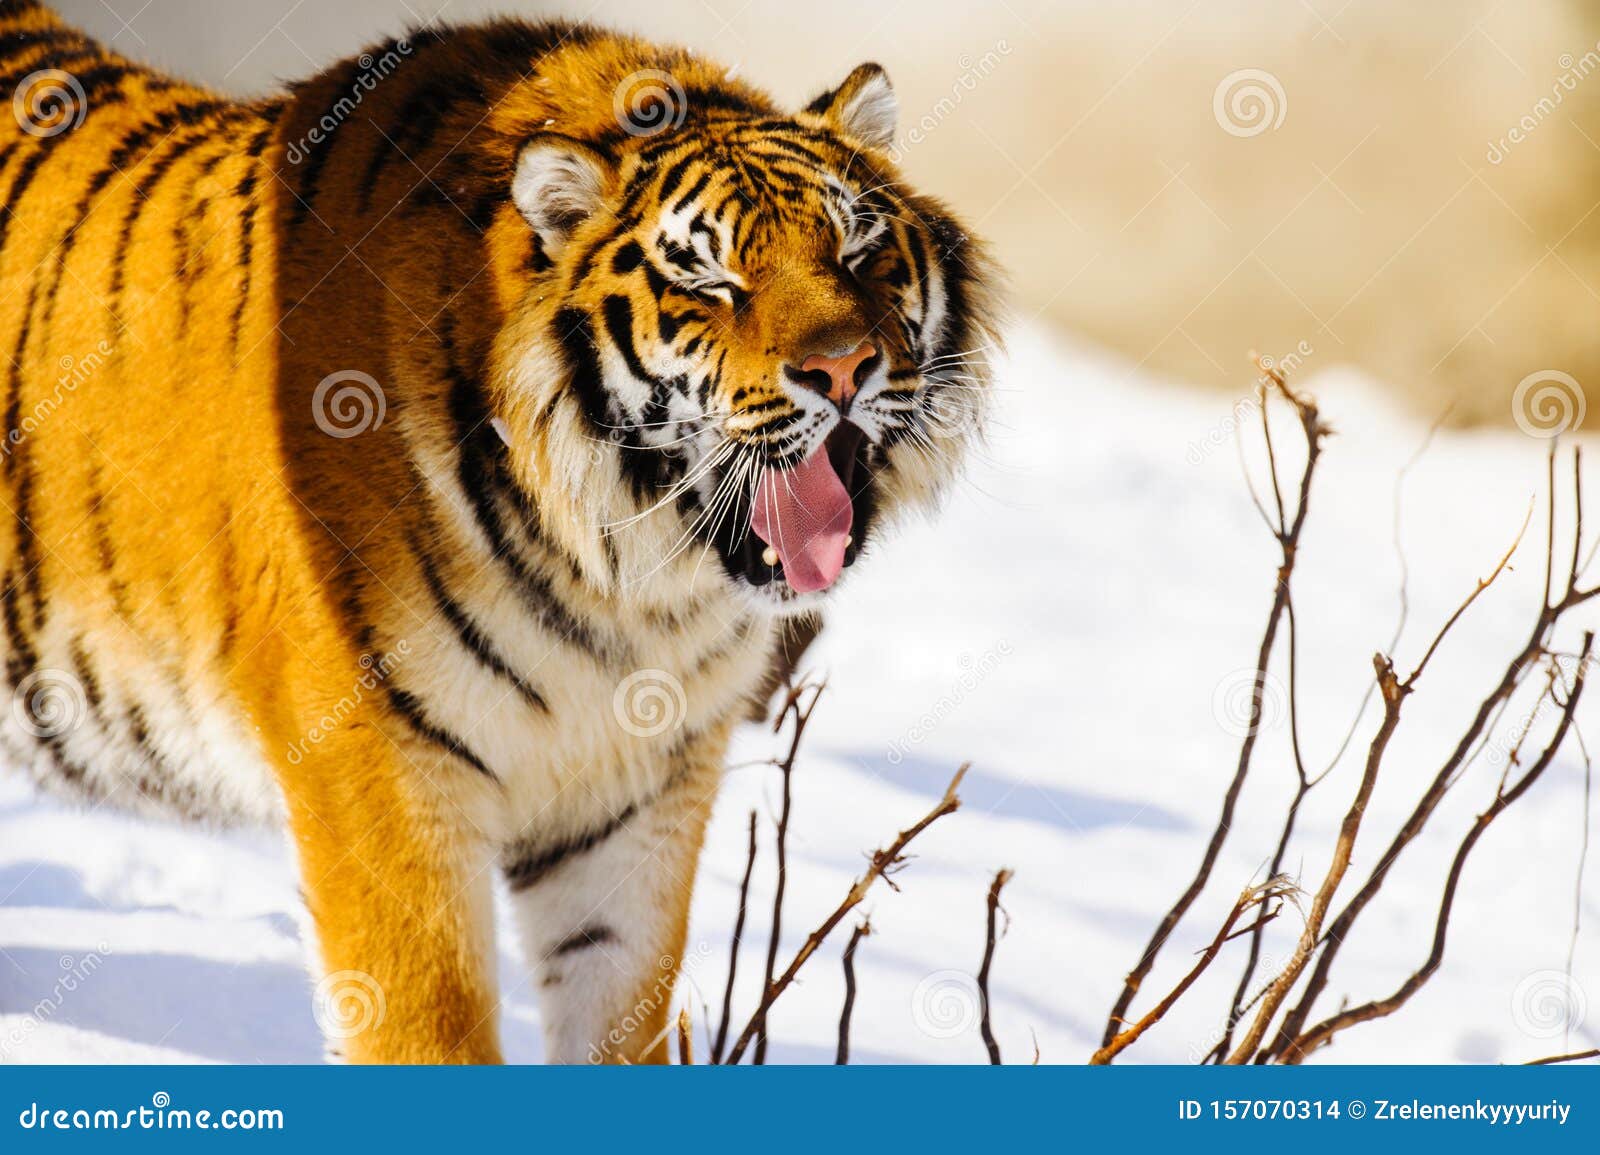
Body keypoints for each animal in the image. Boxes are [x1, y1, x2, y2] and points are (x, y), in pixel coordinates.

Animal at [0, 0, 999, 1063]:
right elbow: (430, 1026)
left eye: (857, 253)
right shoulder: (383, 778)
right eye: (708, 280)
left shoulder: (637, 800)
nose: (843, 367)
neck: (630, 583)